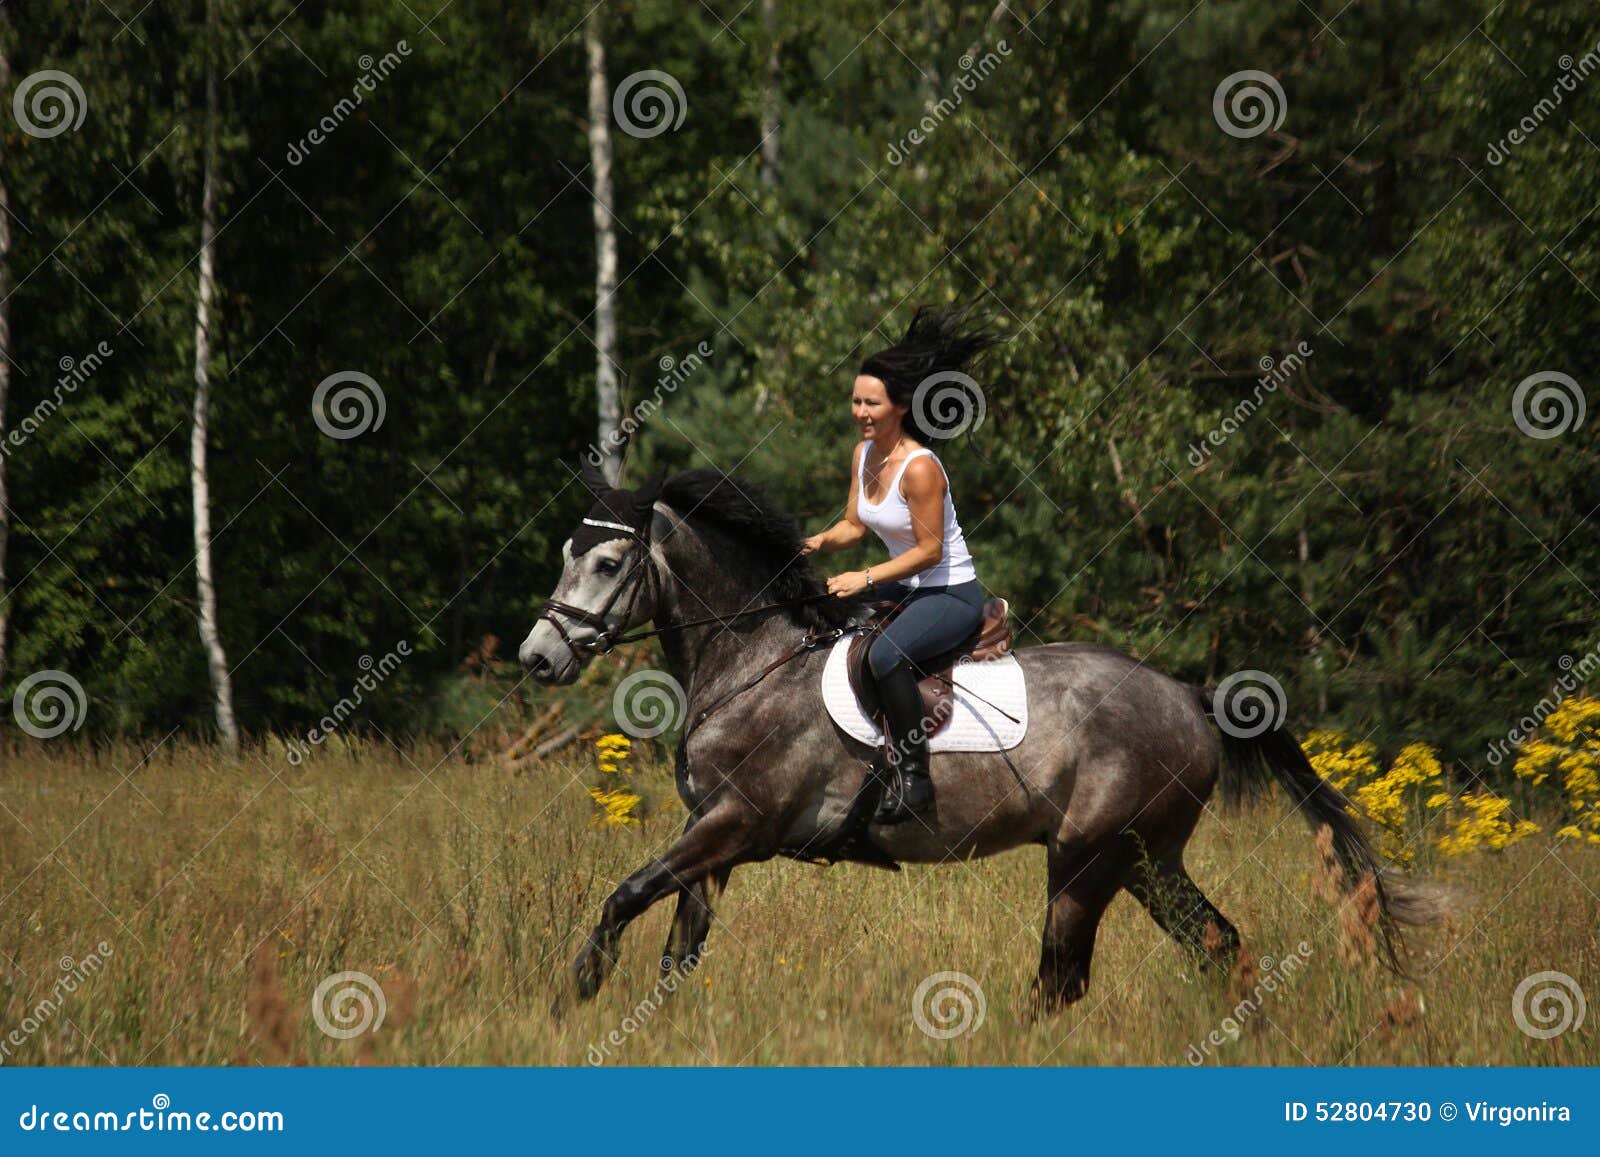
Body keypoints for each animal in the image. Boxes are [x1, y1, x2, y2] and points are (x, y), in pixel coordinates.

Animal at [519, 458, 1444, 1012]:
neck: (753, 662)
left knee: (1062, 978)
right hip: (1150, 857)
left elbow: (626, 895)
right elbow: (679, 944)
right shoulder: (712, 835)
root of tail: (1190, 695)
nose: (537, 656)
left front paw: (571, 998)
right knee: (1216, 942)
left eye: (608, 565)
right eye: (566, 553)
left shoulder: (737, 824)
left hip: (1088, 857)